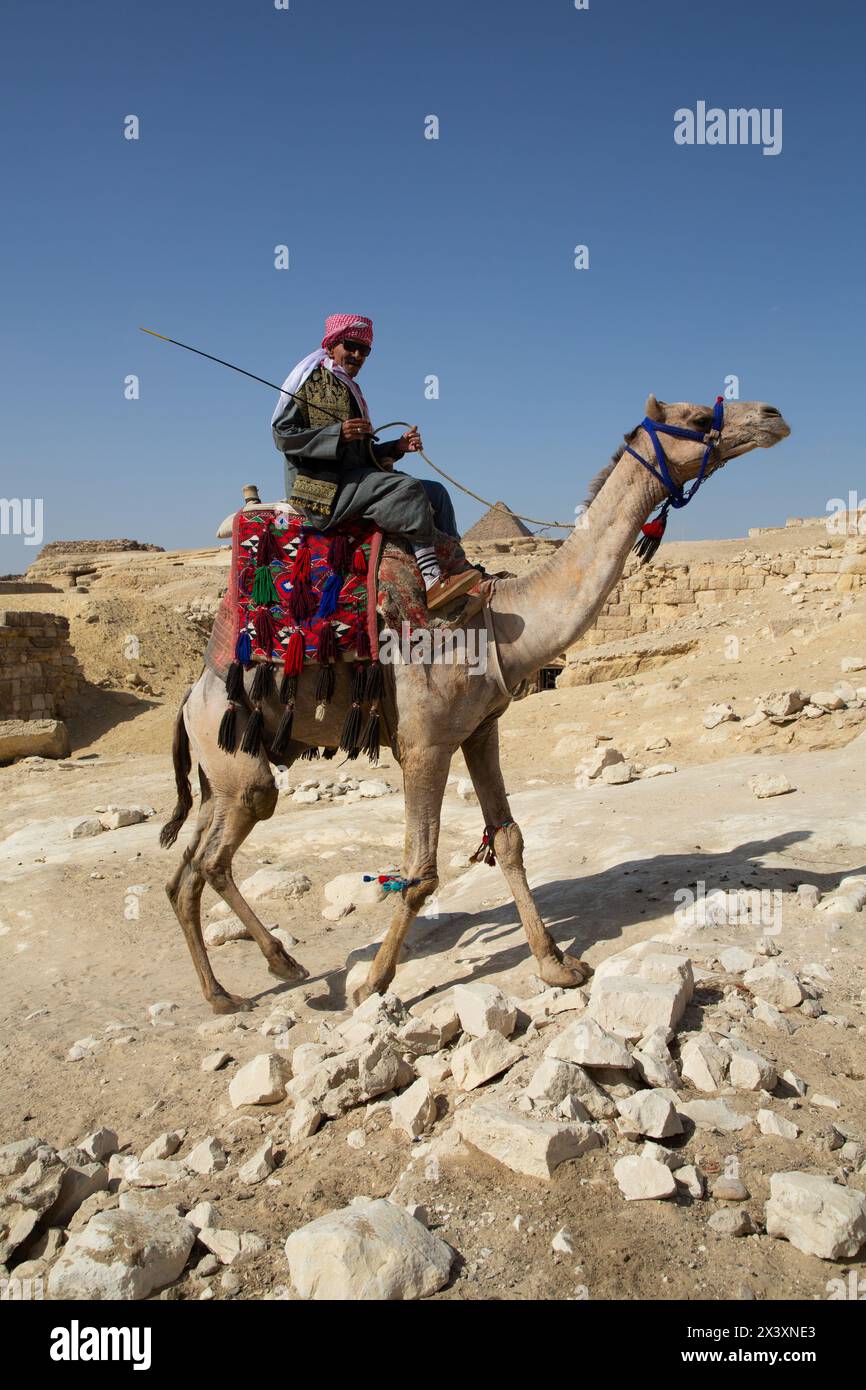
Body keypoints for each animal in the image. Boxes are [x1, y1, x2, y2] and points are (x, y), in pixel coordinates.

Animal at [161, 395, 790, 1013]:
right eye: (698, 418)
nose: (773, 415)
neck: (500, 623)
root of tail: (189, 699)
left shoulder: (481, 730)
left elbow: (509, 840)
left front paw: (557, 965)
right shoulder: (425, 743)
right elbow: (420, 871)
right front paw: (372, 986)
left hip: (222, 772)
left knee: (188, 870)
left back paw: (244, 981)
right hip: (234, 756)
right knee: (214, 857)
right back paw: (257, 978)